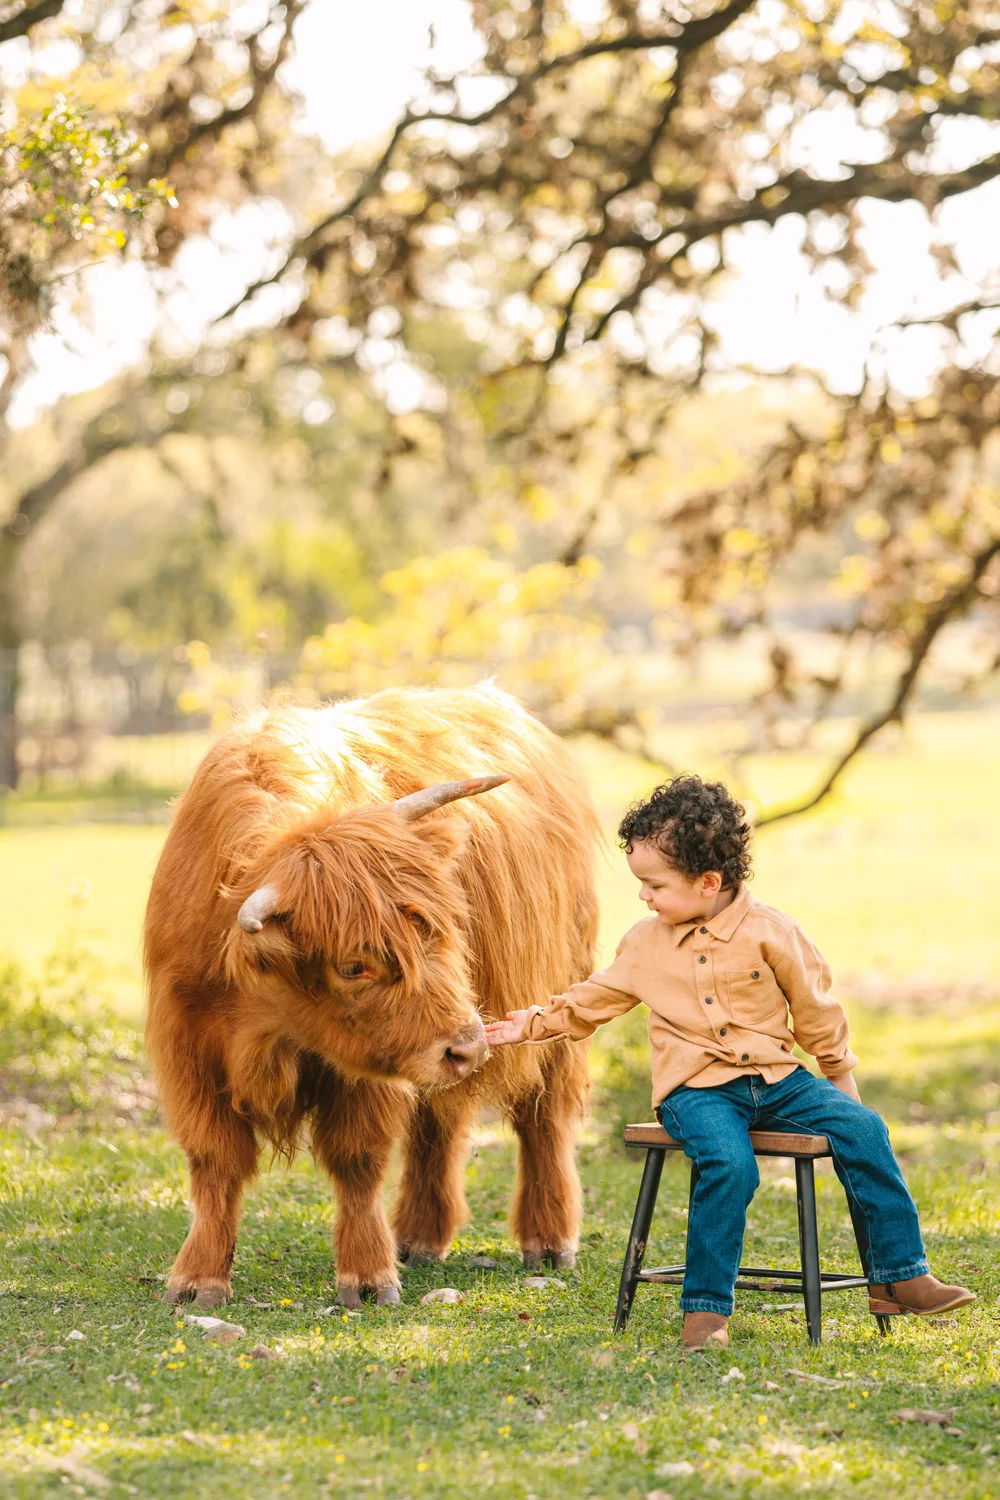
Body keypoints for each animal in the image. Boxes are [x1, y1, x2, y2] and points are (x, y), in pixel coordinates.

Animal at [144, 683, 599, 1309]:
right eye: (352, 966)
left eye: (439, 926)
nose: (468, 1047)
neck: (265, 1021)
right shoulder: (188, 1048)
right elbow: (214, 1161)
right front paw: (197, 1280)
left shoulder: (360, 1076)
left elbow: (357, 1159)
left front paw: (367, 1277)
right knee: (438, 1124)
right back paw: (420, 1240)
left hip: (558, 1003)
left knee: (543, 1119)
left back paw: (549, 1242)